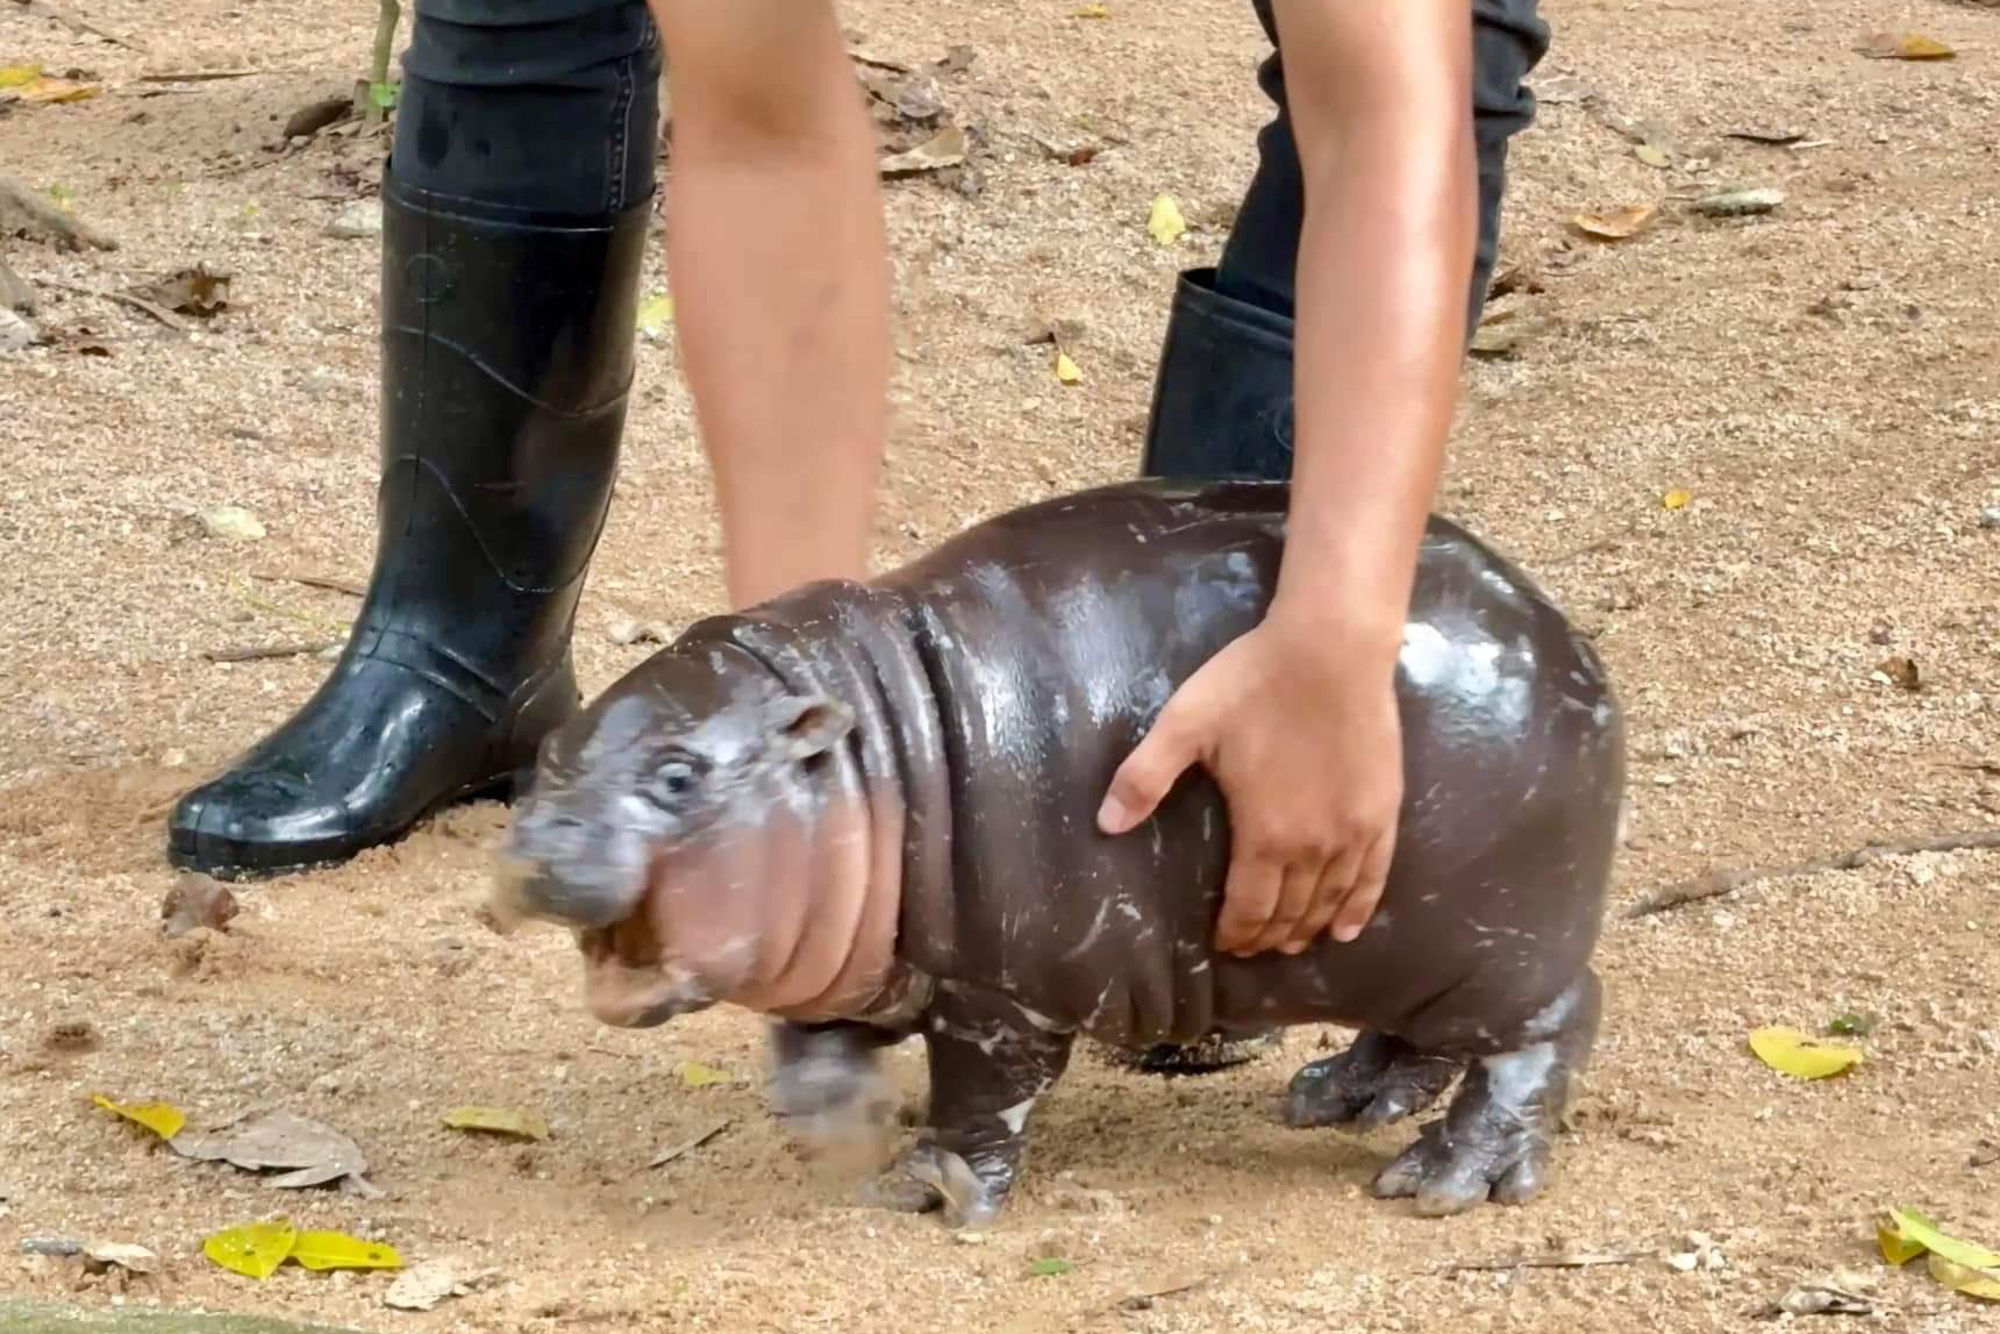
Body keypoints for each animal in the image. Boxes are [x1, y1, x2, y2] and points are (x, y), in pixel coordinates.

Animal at [491, 478, 1625, 1226]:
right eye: (548, 752)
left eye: (678, 775)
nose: (535, 846)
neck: (873, 750)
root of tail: (1568, 642)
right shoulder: (847, 964)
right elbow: (814, 1038)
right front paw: (837, 1125)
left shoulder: (1002, 1001)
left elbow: (980, 1102)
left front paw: (927, 1188)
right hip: (1399, 945)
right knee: (1418, 1038)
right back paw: (1333, 1097)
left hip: (1499, 947)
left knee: (1545, 1031)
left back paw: (1440, 1181)